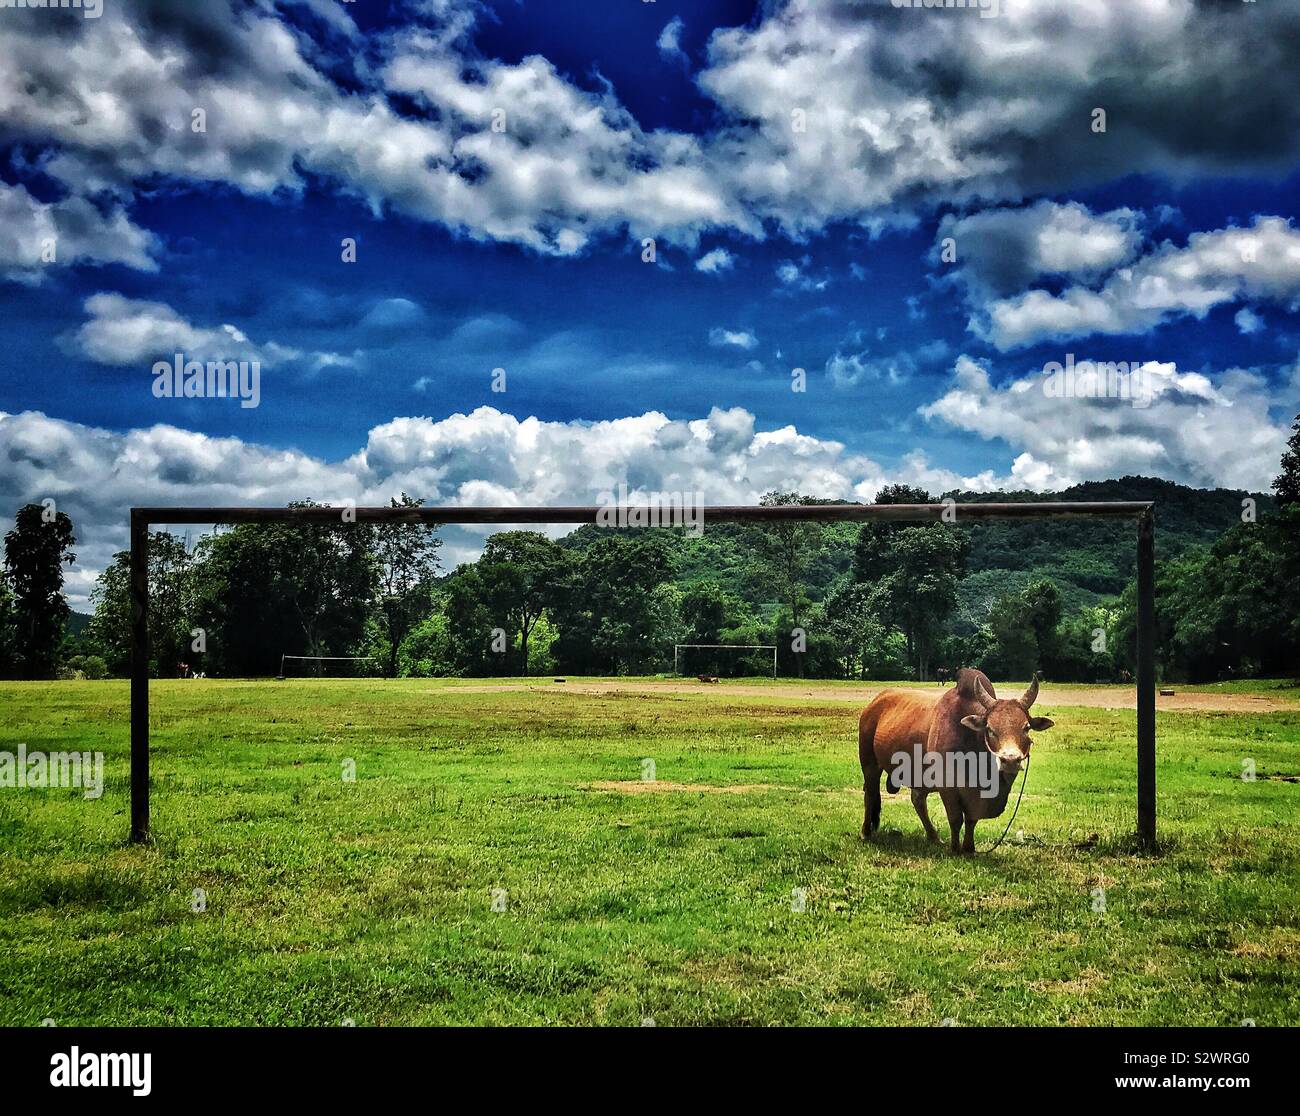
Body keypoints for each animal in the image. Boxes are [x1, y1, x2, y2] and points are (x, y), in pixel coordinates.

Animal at [858, 668, 1054, 854]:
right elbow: (955, 818)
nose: (1010, 760)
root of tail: (874, 703)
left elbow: (971, 819)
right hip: (869, 764)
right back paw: (865, 832)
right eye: (990, 729)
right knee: (870, 795)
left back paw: (933, 836)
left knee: (917, 800)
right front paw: (955, 848)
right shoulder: (947, 786)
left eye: (1026, 727)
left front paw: (969, 848)